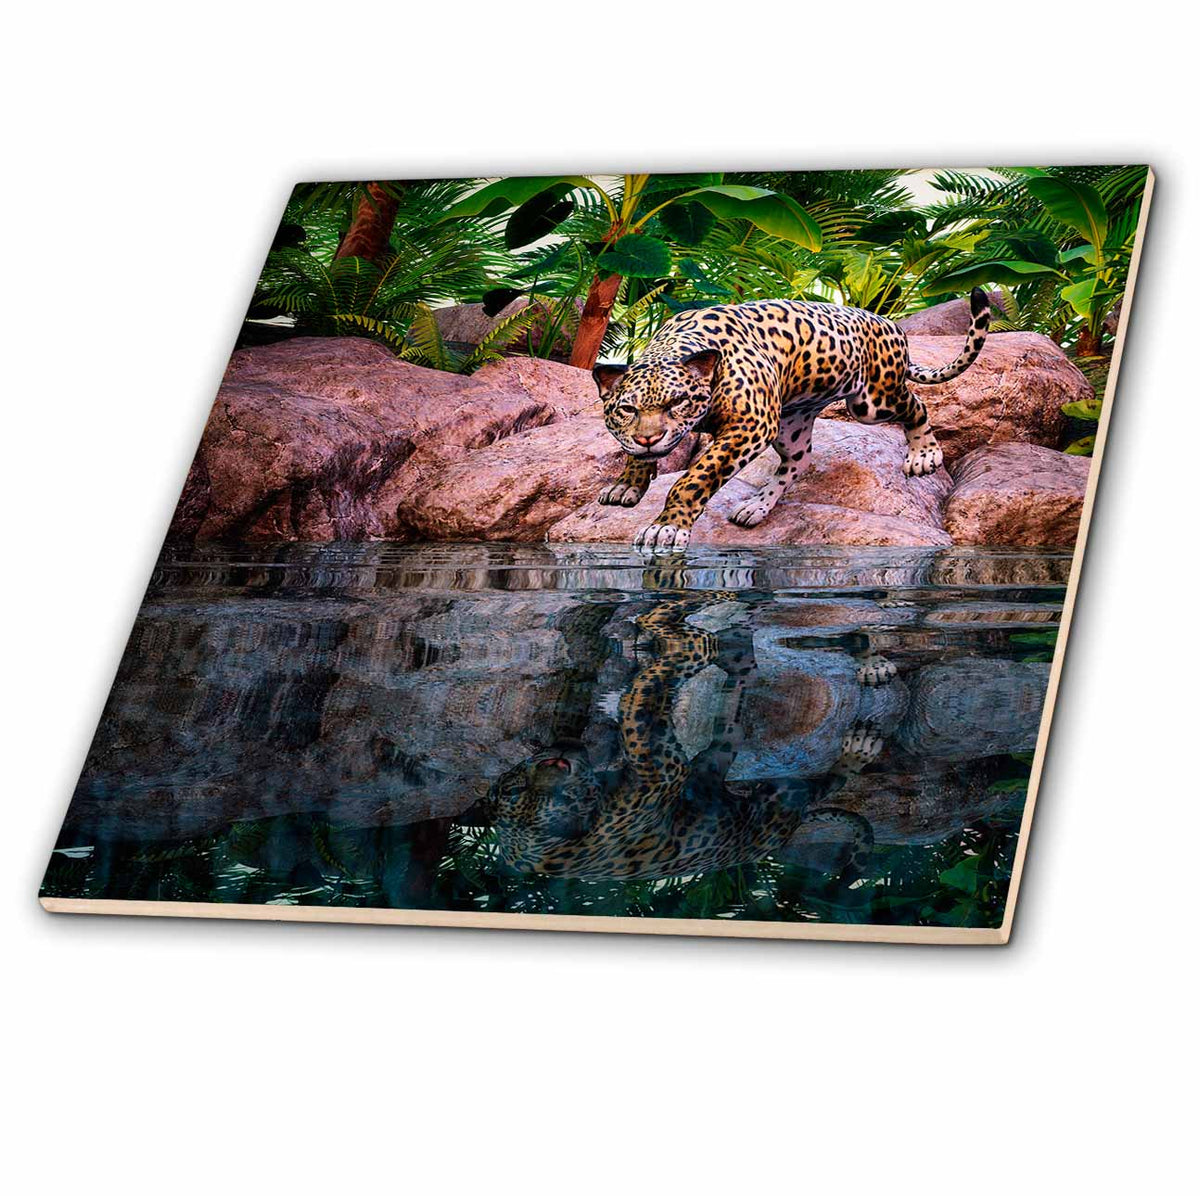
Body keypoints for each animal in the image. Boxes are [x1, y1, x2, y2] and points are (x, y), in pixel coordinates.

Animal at [484, 592, 888, 882]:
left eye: (514, 785)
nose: (552, 757)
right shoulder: (663, 768)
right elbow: (638, 700)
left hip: (720, 769)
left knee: (736, 707)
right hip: (776, 801)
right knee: (815, 780)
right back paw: (859, 746)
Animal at [593, 287, 991, 551]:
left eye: (677, 402)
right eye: (627, 409)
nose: (649, 439)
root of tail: (891, 323)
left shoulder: (749, 425)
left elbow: (694, 479)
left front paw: (667, 528)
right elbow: (634, 456)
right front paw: (627, 484)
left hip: (872, 402)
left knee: (915, 405)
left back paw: (924, 454)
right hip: (791, 421)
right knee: (799, 461)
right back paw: (755, 507)